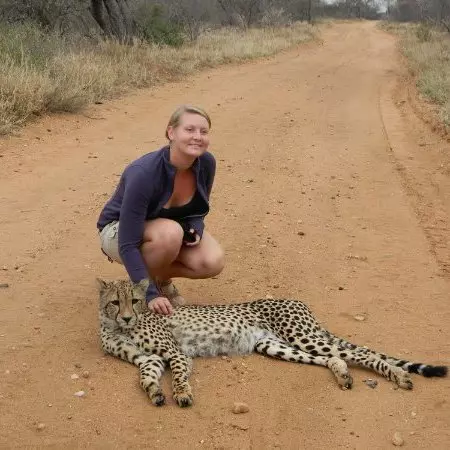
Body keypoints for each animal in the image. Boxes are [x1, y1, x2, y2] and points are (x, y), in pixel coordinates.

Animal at [97, 278, 446, 408]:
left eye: (135, 301)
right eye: (115, 302)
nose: (126, 318)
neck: (115, 328)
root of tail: (297, 301)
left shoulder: (174, 352)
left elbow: (180, 375)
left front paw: (181, 394)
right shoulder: (150, 359)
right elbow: (145, 377)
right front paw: (155, 392)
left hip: (302, 335)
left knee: (358, 353)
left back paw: (399, 376)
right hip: (274, 345)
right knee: (333, 358)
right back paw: (343, 375)